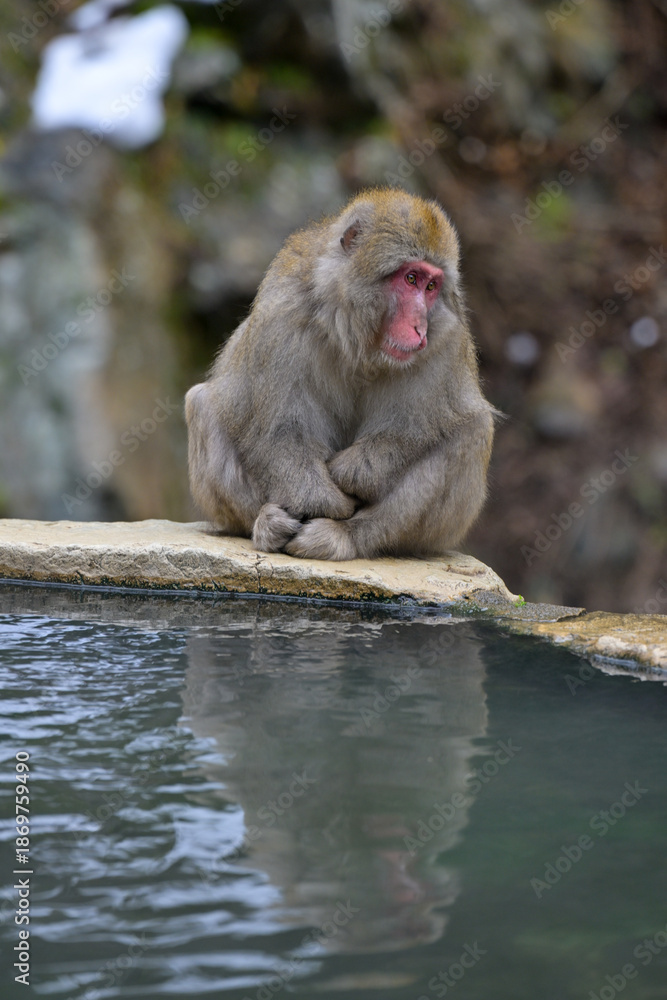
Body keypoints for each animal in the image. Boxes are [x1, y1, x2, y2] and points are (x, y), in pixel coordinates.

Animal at [185, 187, 495, 561]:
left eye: (432, 286)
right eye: (411, 279)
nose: (420, 327)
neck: (359, 338)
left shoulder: (445, 339)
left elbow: (414, 429)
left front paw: (348, 476)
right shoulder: (281, 313)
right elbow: (280, 429)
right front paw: (323, 499)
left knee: (472, 431)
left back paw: (347, 536)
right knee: (202, 403)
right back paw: (266, 524)